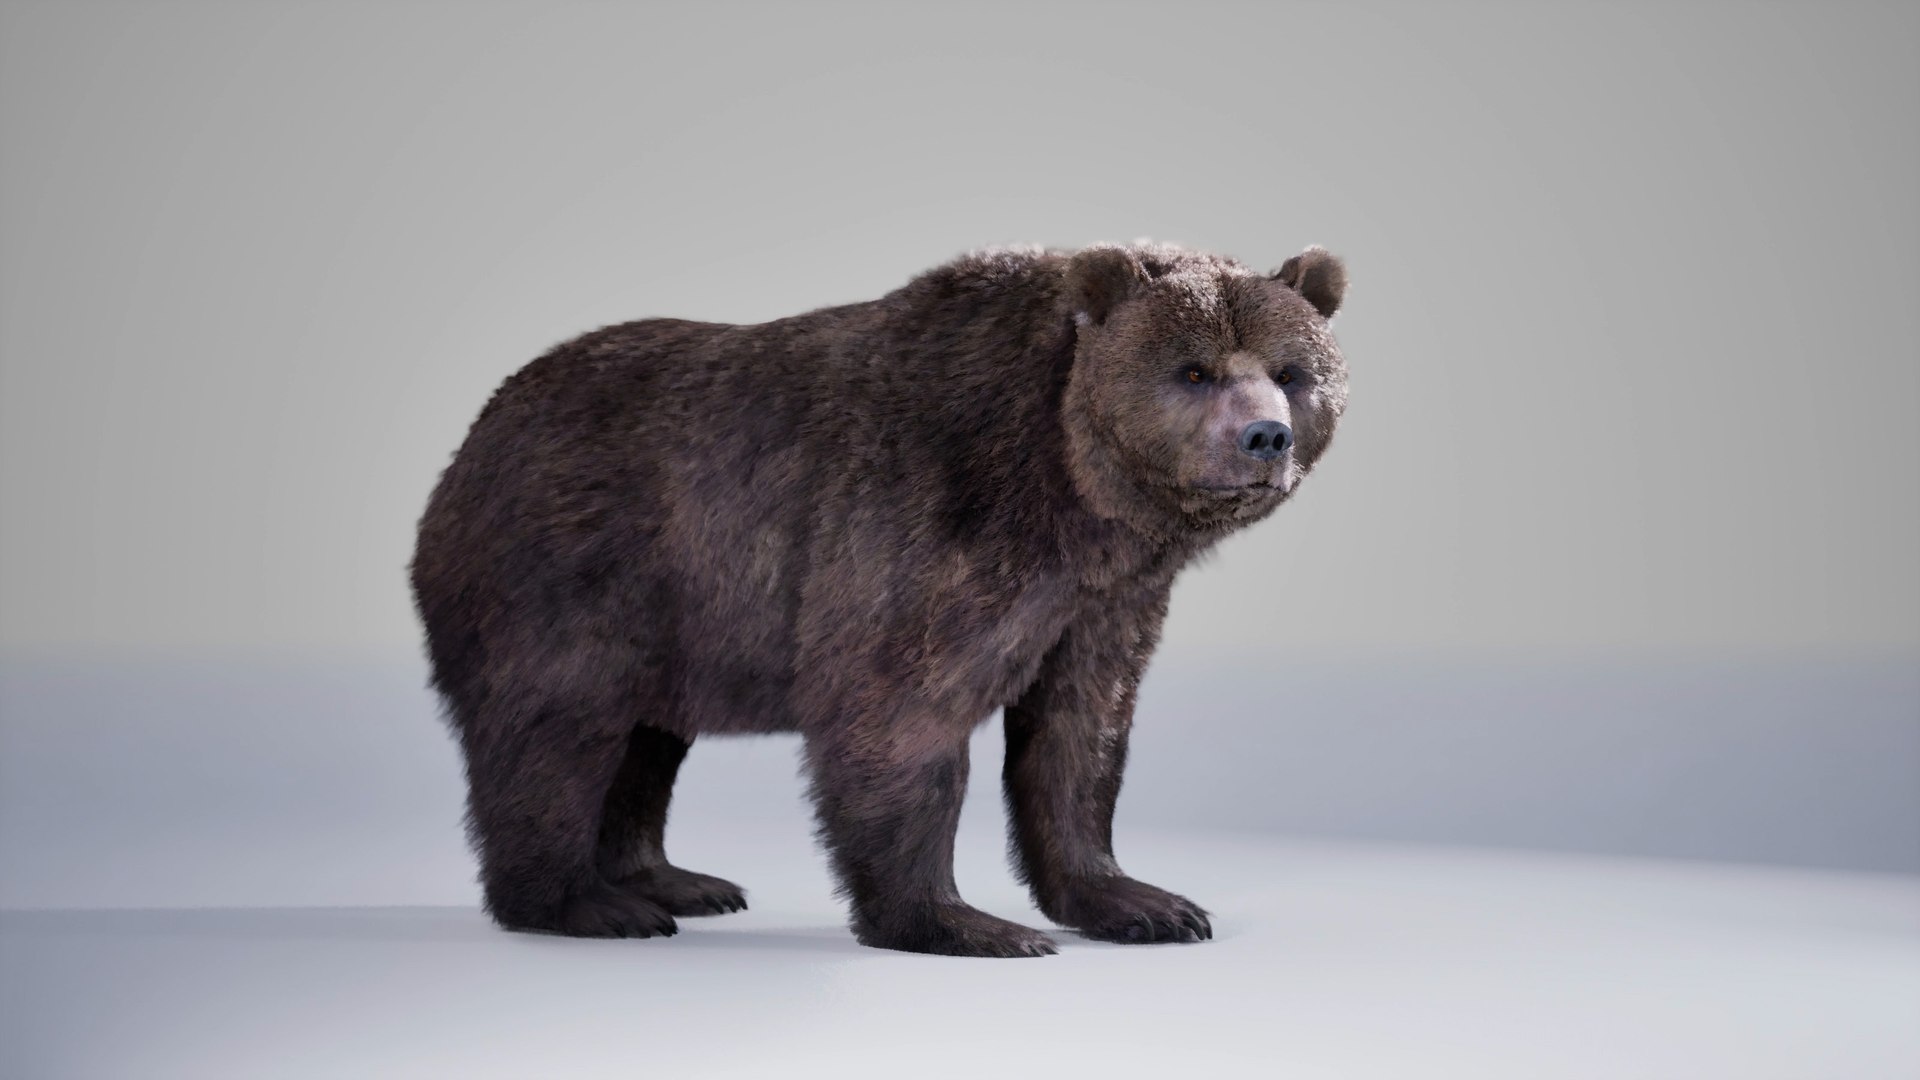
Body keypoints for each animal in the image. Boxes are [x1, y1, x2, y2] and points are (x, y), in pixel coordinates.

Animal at [409, 241, 1351, 956]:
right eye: (1192, 371)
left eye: (1292, 370)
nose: (1264, 436)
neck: (1069, 492)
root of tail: (478, 429)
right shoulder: (917, 523)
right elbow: (901, 714)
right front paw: (966, 923)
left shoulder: (1106, 600)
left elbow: (1080, 732)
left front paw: (1147, 903)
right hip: (573, 566)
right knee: (558, 727)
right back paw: (587, 904)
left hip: (665, 618)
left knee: (645, 740)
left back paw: (677, 882)